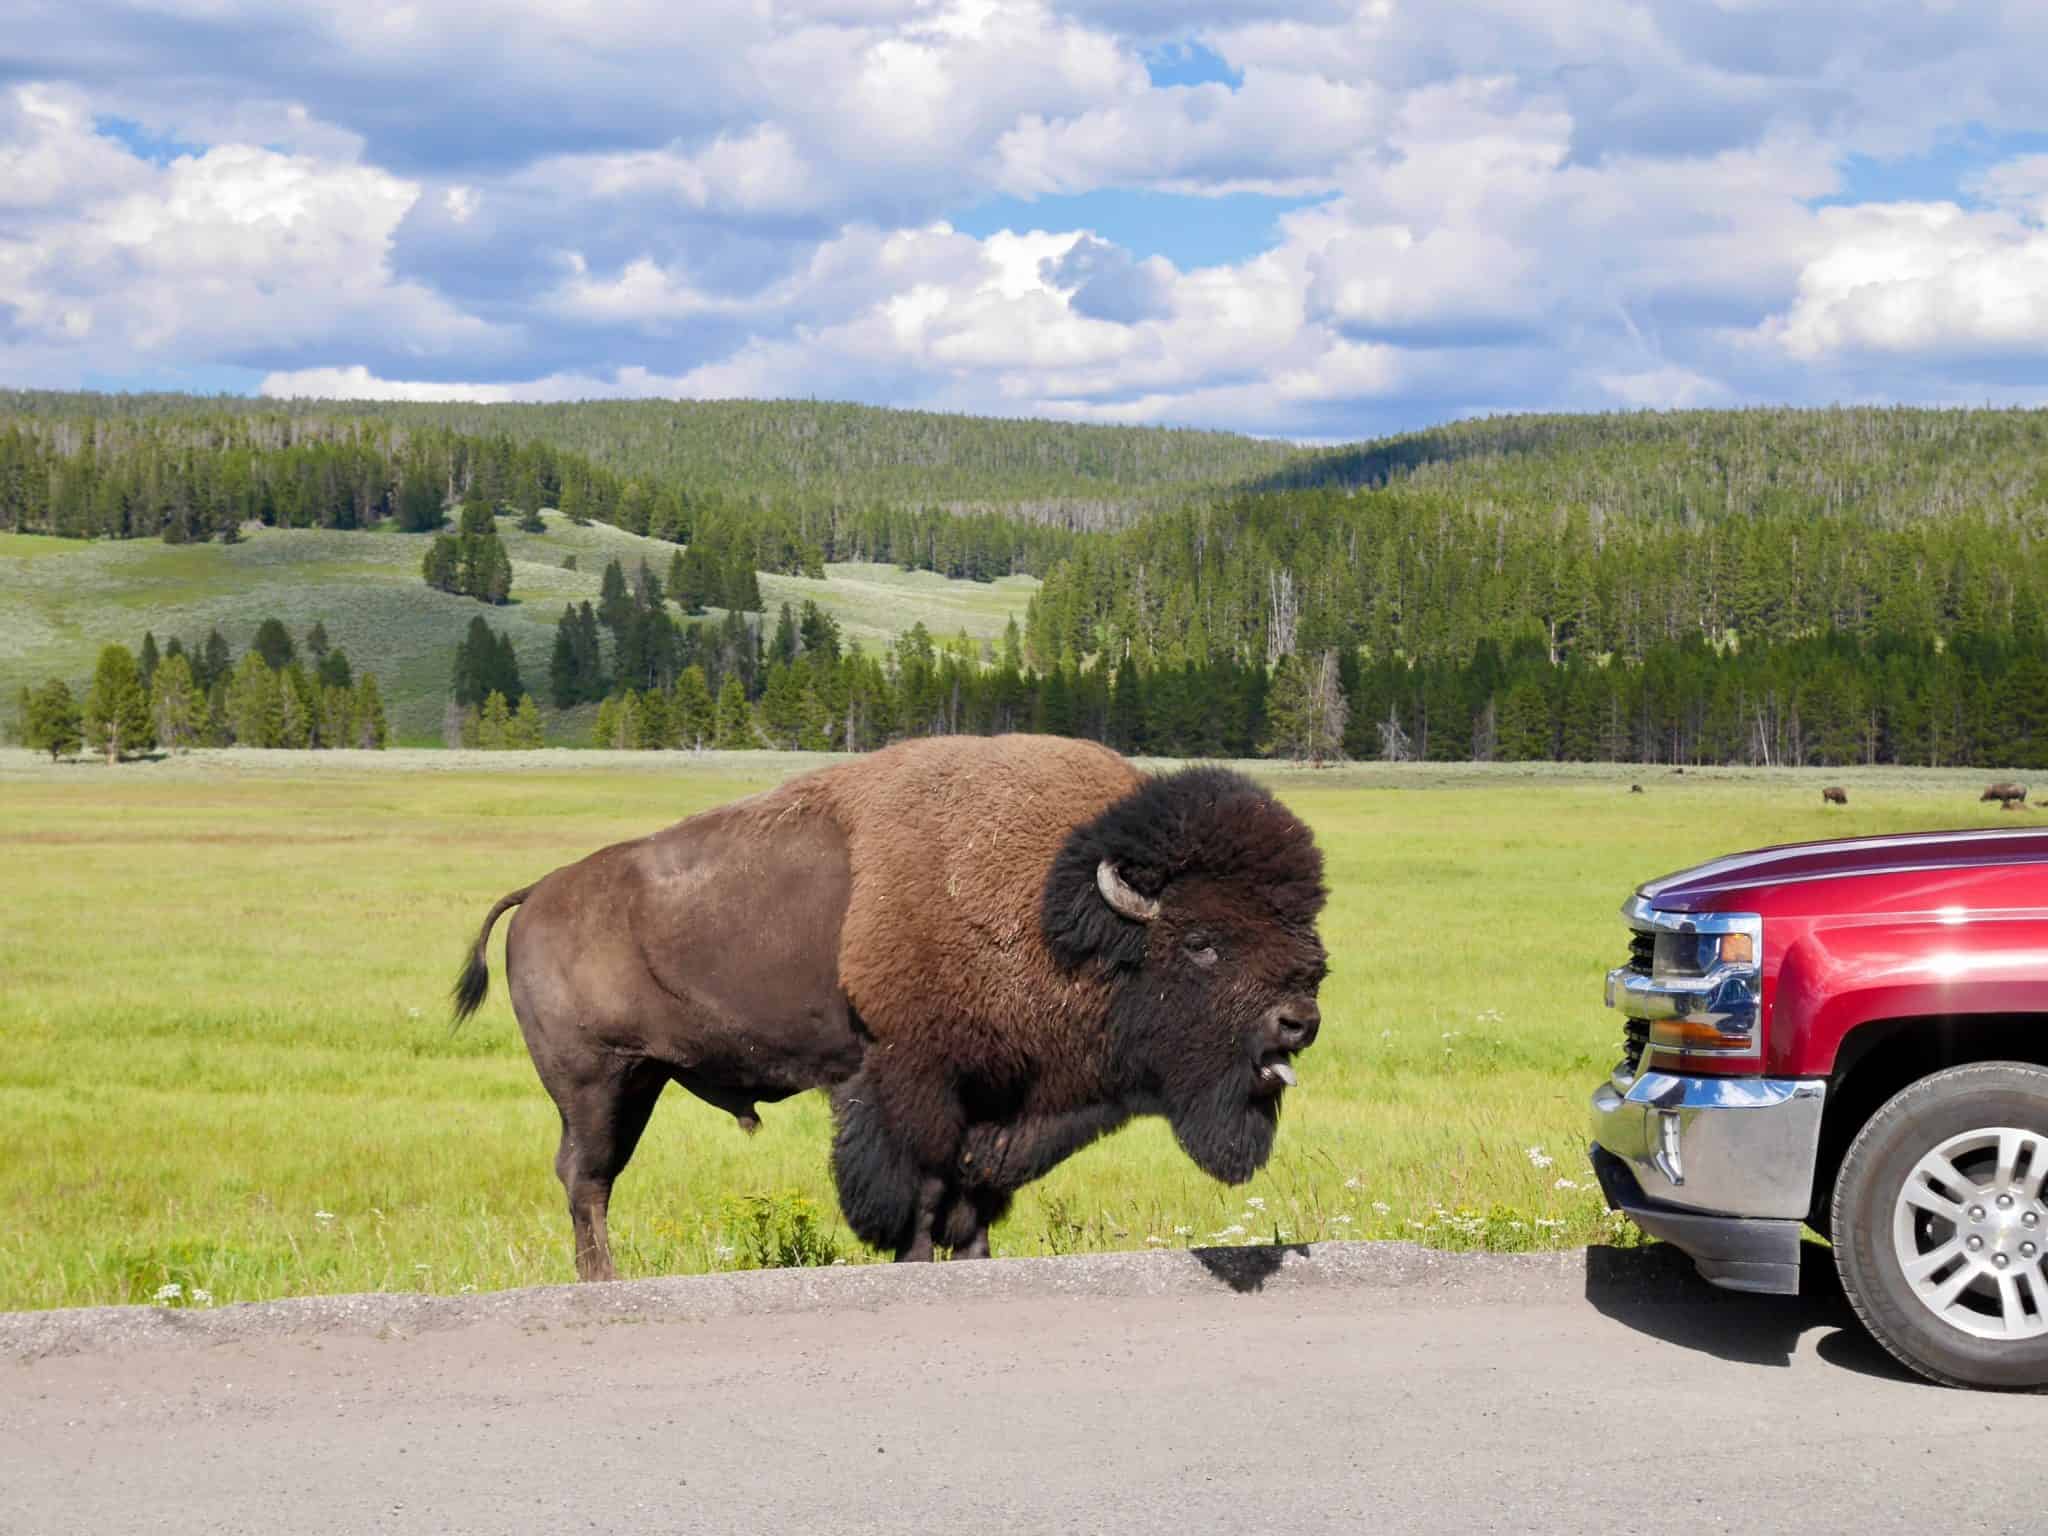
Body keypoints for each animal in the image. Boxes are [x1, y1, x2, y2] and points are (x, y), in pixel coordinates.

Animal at [450, 734, 1329, 1278]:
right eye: (1203, 942)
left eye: (1304, 929)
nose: (1299, 1021)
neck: (1056, 907)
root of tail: (539, 894)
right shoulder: (912, 1083)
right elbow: (922, 1192)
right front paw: (914, 1260)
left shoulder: (997, 1103)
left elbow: (976, 1198)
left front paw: (974, 1263)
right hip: (596, 1081)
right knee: (586, 1177)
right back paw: (603, 1278)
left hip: (638, 1081)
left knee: (589, 1176)